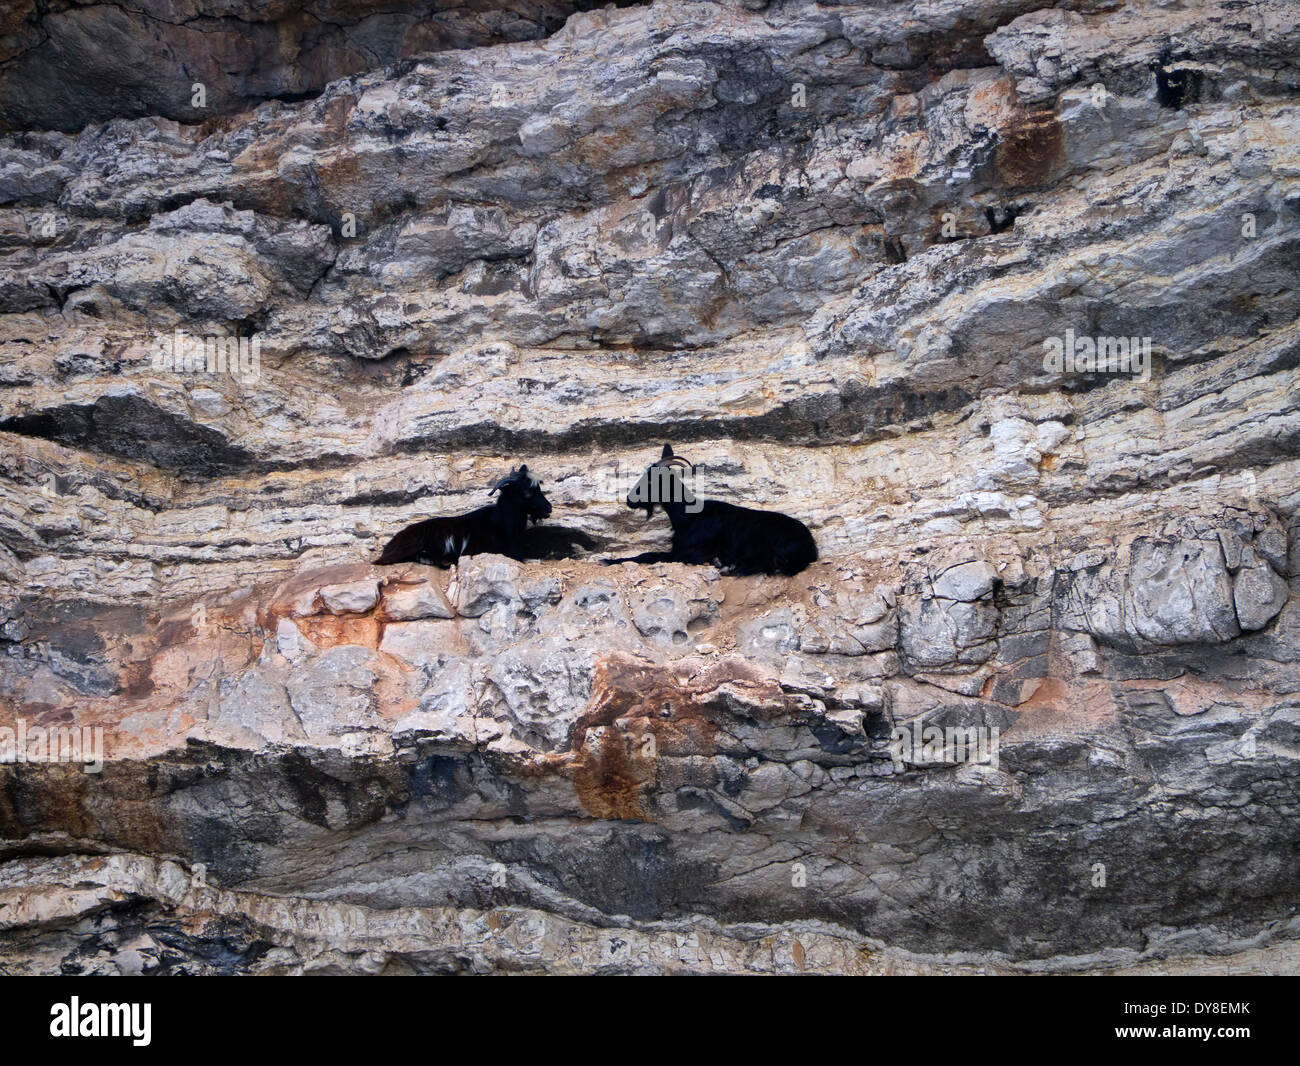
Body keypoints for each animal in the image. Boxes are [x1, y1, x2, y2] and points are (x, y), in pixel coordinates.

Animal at [605, 444, 818, 576]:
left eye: (651, 481)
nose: (629, 500)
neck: (688, 516)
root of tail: (811, 547)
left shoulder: (688, 552)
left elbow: (648, 555)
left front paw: (608, 561)